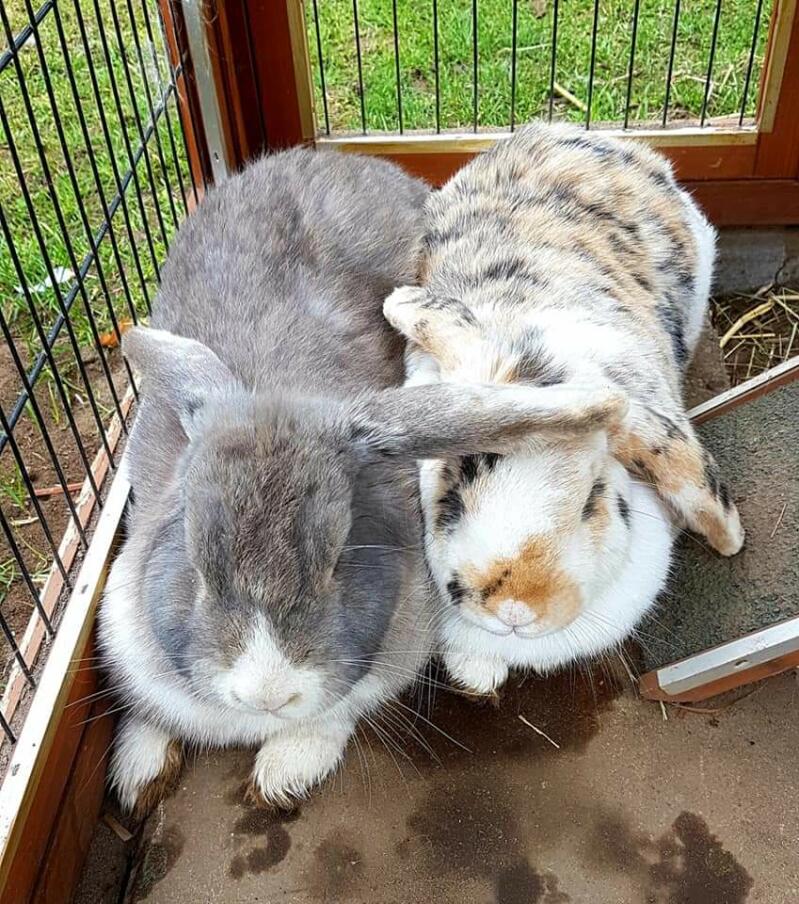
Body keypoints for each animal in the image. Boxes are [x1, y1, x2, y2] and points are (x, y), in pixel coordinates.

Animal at [97, 147, 622, 813]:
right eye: (193, 564)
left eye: (341, 558)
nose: (269, 694)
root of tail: (338, 156)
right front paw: (138, 775)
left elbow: (332, 717)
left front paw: (283, 771)